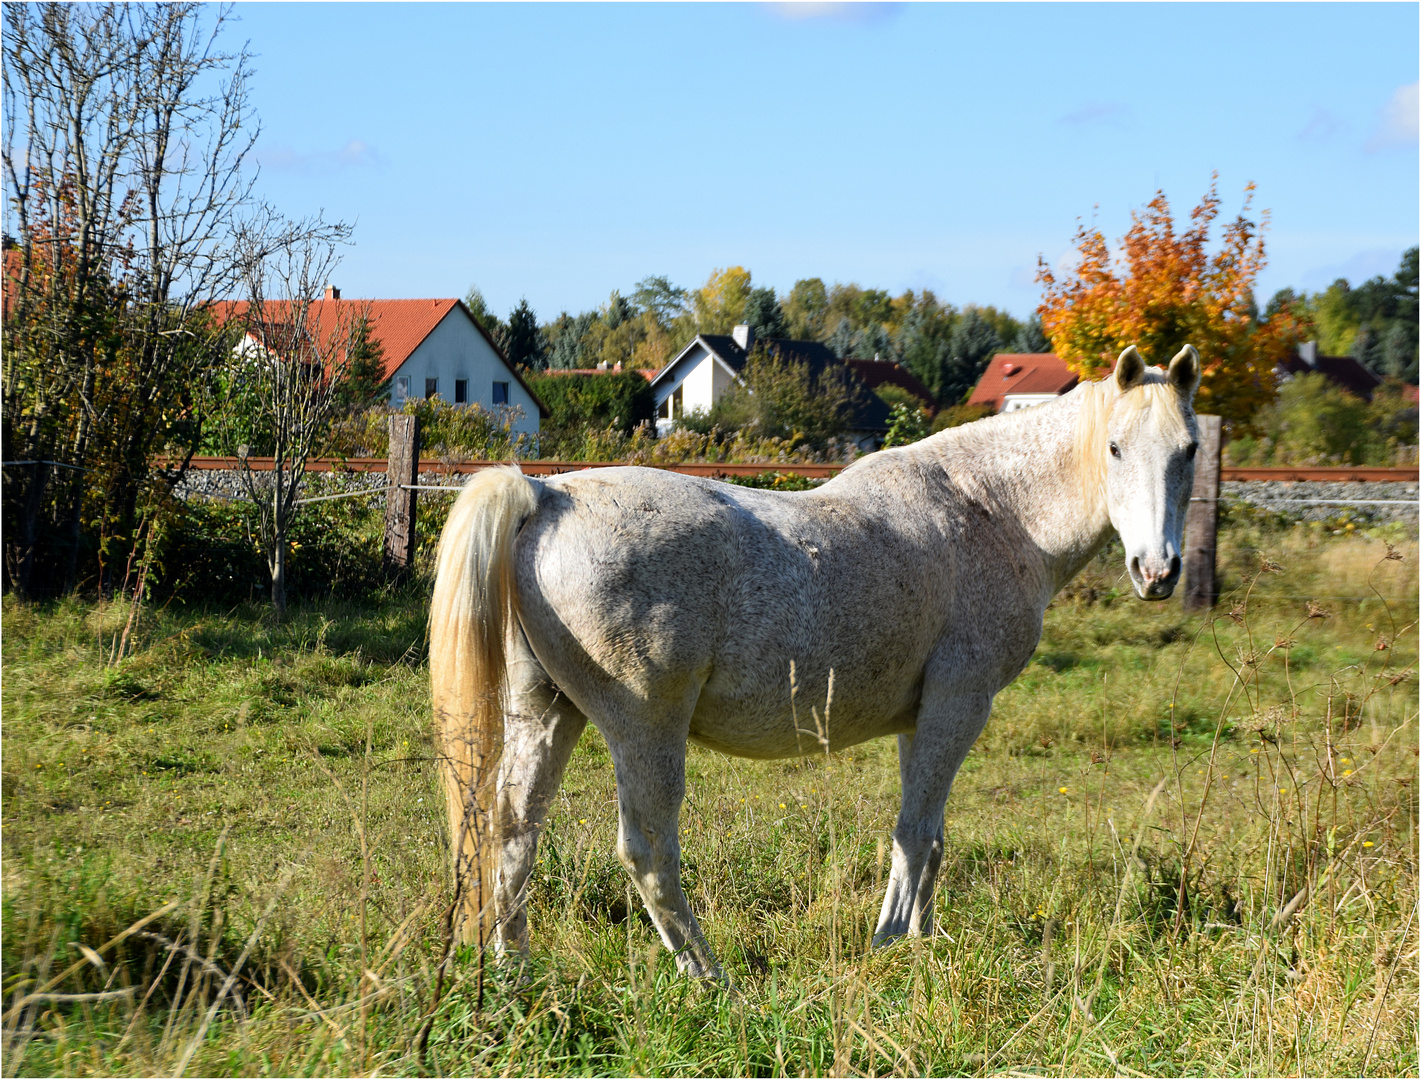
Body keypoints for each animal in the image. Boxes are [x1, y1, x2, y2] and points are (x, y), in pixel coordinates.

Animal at [429, 344, 1201, 979]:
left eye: (1189, 450)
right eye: (1114, 448)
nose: (1158, 571)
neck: (990, 510)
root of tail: (547, 494)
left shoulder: (923, 720)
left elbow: (930, 836)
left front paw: (922, 940)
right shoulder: (958, 707)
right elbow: (913, 834)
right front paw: (891, 946)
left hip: (547, 714)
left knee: (513, 831)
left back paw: (514, 969)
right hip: (644, 730)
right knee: (647, 851)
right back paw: (709, 976)